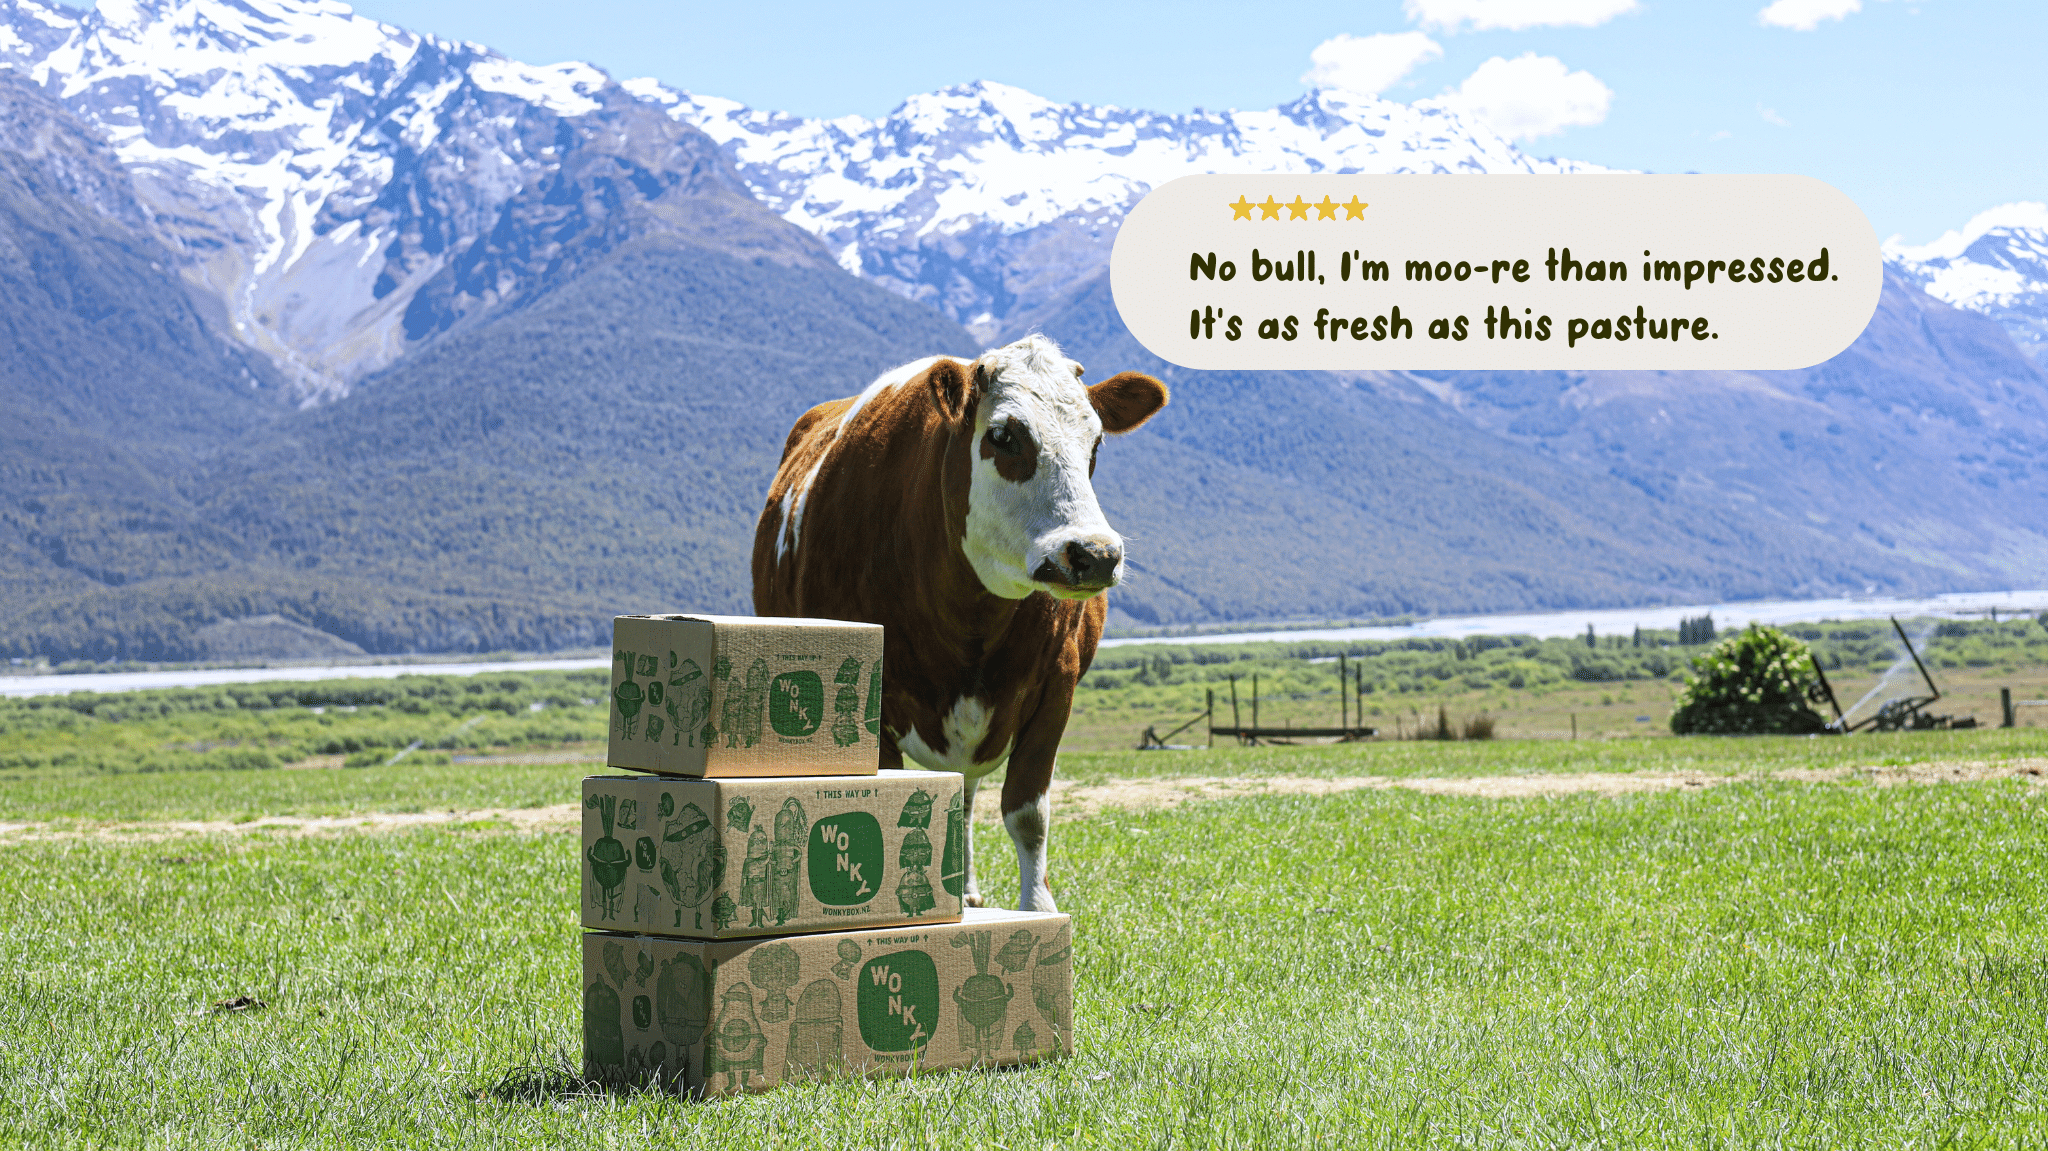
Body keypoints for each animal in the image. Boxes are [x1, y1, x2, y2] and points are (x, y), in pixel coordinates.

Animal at [752, 334, 1168, 912]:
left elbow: (1027, 812)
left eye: (1097, 443)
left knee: (964, 795)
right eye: (1003, 435)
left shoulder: (1056, 685)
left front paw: (1037, 910)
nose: (1095, 555)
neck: (968, 617)